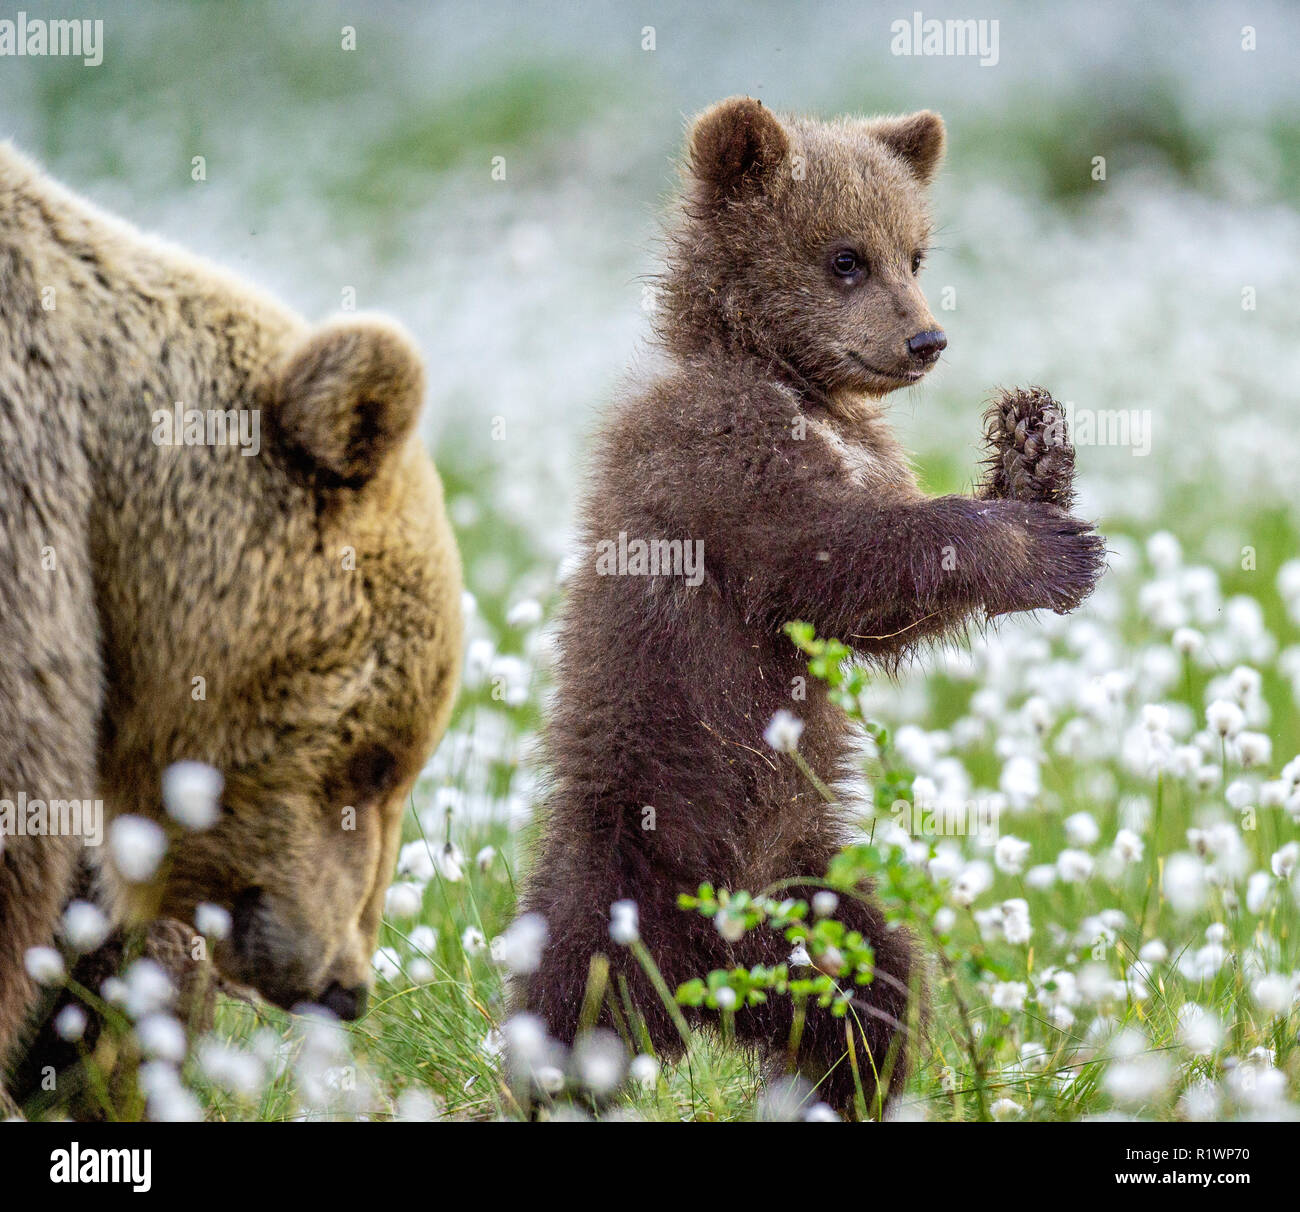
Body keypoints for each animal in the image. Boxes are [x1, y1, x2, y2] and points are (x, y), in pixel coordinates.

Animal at [518, 98, 1103, 1119]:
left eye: (916, 253)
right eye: (845, 258)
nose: (926, 341)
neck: (791, 379)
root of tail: (710, 981)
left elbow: (878, 617)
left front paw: (1035, 453)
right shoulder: (720, 459)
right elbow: (836, 561)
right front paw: (1044, 548)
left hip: (806, 893)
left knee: (871, 990)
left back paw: (844, 1085)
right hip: (627, 876)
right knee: (571, 1006)